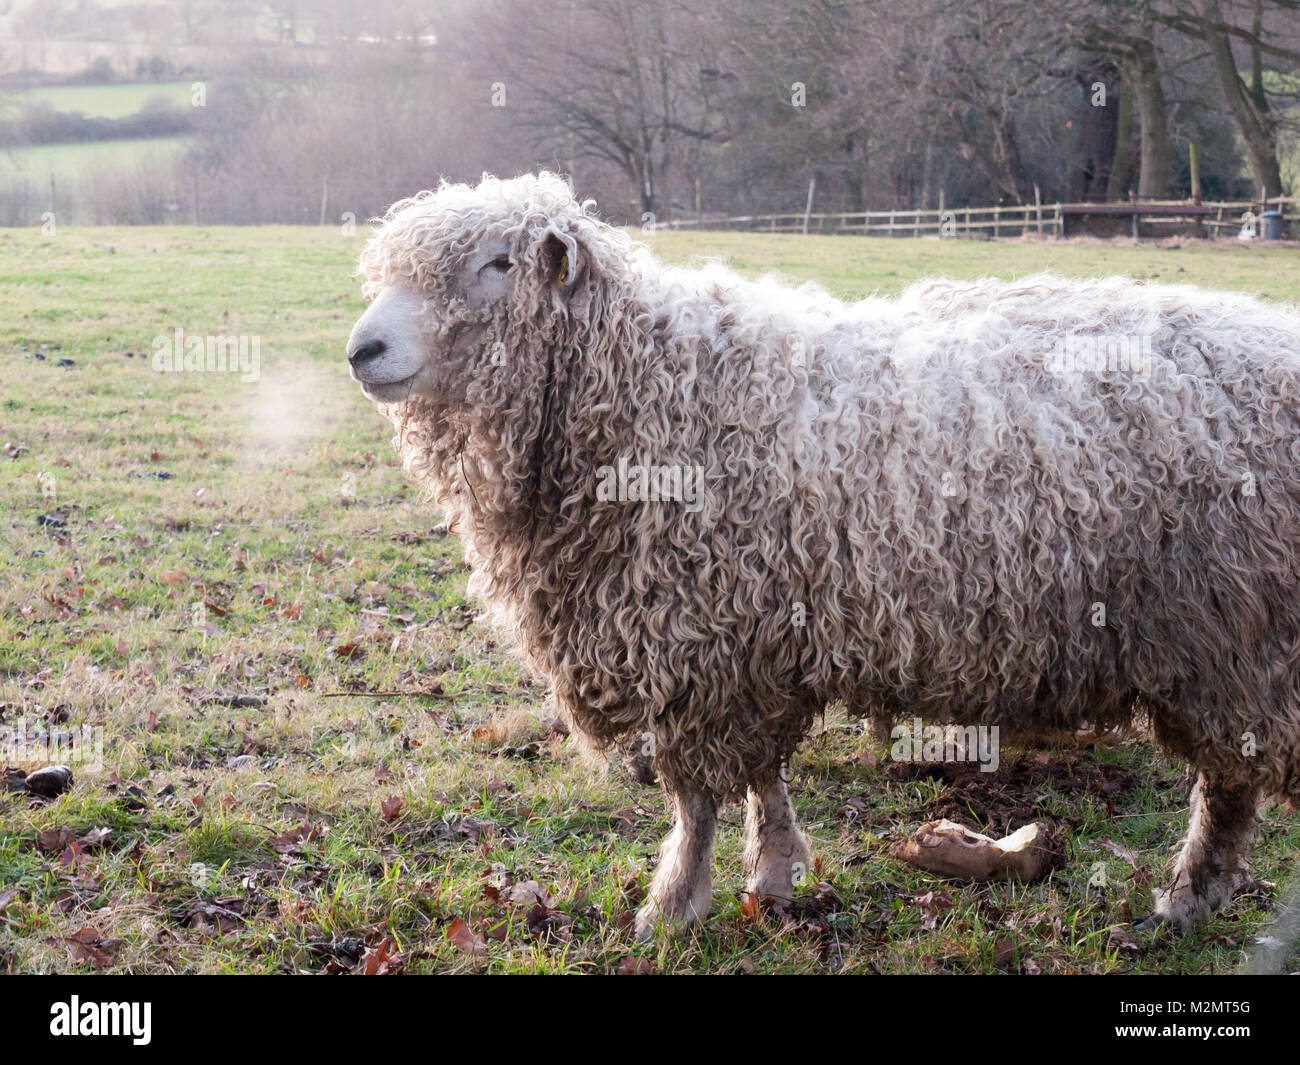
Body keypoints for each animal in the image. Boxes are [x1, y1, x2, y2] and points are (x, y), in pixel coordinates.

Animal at [346, 171, 1300, 938]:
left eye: (498, 264)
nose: (363, 349)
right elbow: (761, 776)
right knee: (1233, 782)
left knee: (1231, 782)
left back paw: (1188, 898)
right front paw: (770, 873)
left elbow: (693, 796)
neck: (652, 385)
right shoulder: (752, 638)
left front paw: (670, 907)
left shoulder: (700, 640)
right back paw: (1189, 902)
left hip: (1237, 642)